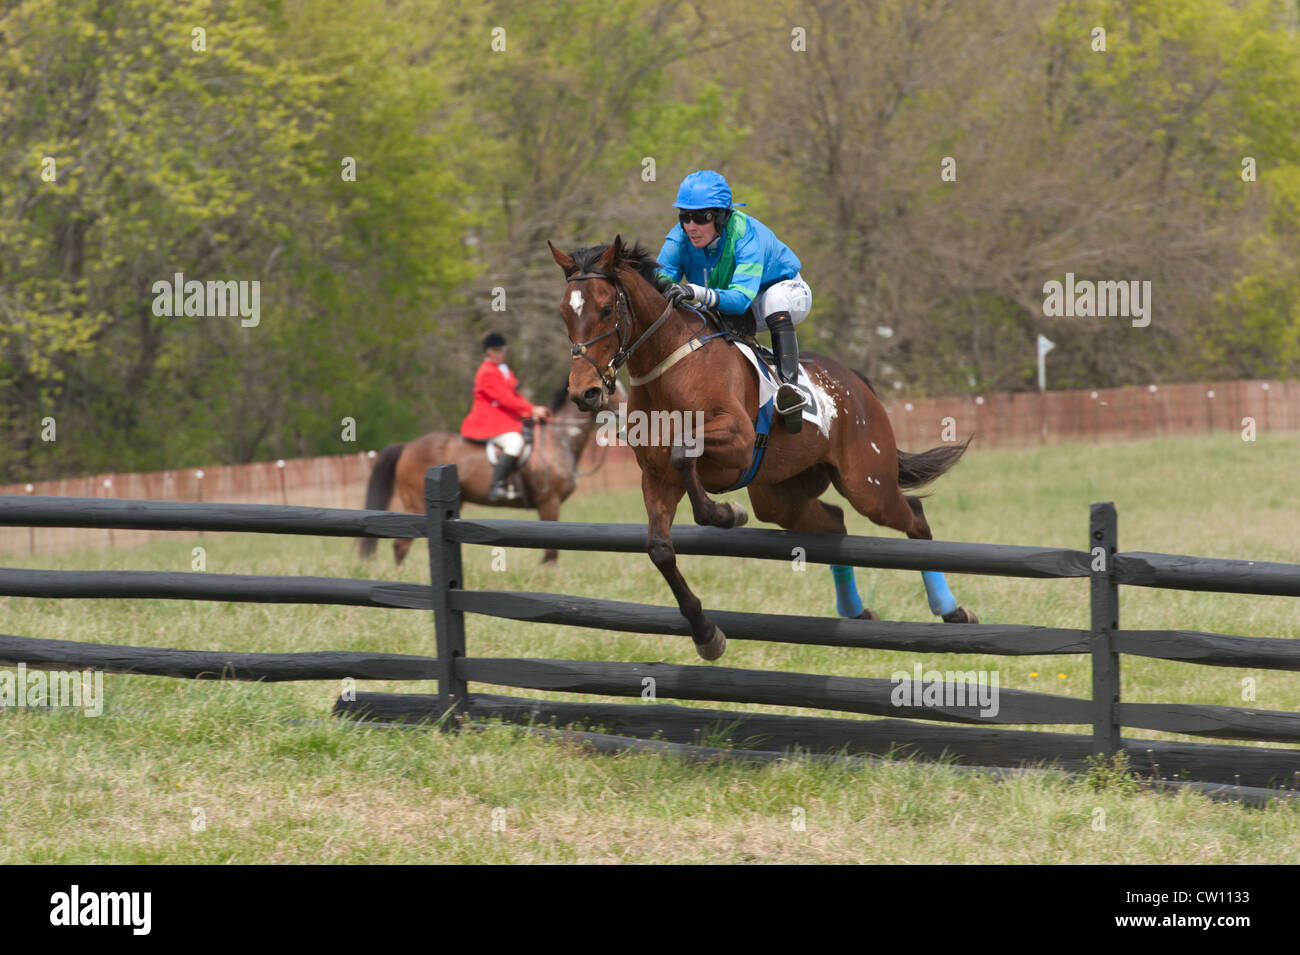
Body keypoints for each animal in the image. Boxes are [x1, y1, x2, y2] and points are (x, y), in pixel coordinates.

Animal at [359, 381, 613, 564]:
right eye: (613, 389)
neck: (561, 439)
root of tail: (407, 446)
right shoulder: (549, 502)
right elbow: (551, 554)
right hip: (416, 504)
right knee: (400, 545)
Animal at [549, 236, 978, 661]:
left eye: (607, 309)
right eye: (564, 313)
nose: (584, 393)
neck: (669, 368)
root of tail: (857, 384)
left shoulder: (736, 441)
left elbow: (685, 453)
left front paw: (726, 513)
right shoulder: (657, 477)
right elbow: (659, 549)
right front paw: (707, 634)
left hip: (868, 485)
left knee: (914, 517)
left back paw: (953, 612)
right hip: (781, 497)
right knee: (835, 522)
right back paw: (856, 611)